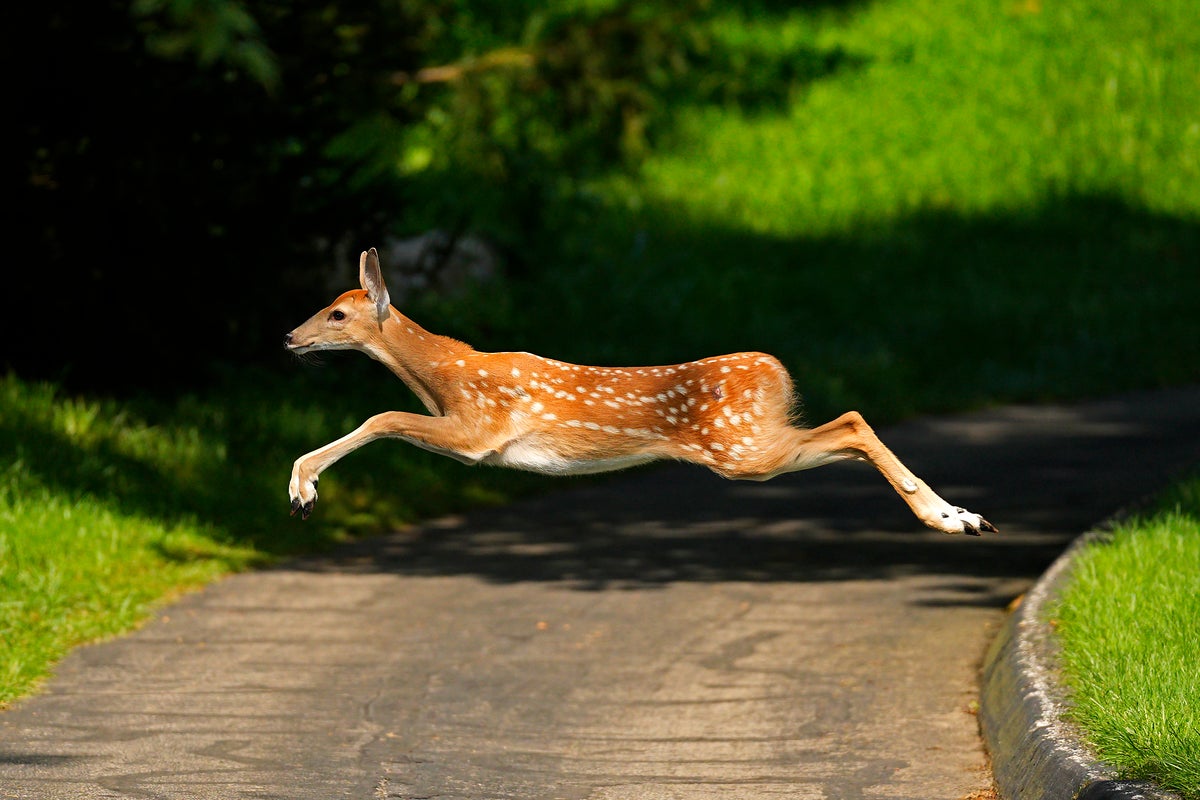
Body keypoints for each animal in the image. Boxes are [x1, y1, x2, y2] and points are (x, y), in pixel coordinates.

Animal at [284, 247, 996, 536]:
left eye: (338, 315)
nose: (290, 337)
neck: (445, 374)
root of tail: (774, 370)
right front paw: (302, 489)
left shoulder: (480, 430)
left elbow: (381, 415)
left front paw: (302, 491)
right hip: (752, 442)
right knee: (847, 424)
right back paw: (961, 516)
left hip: (741, 449)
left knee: (849, 420)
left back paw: (953, 518)